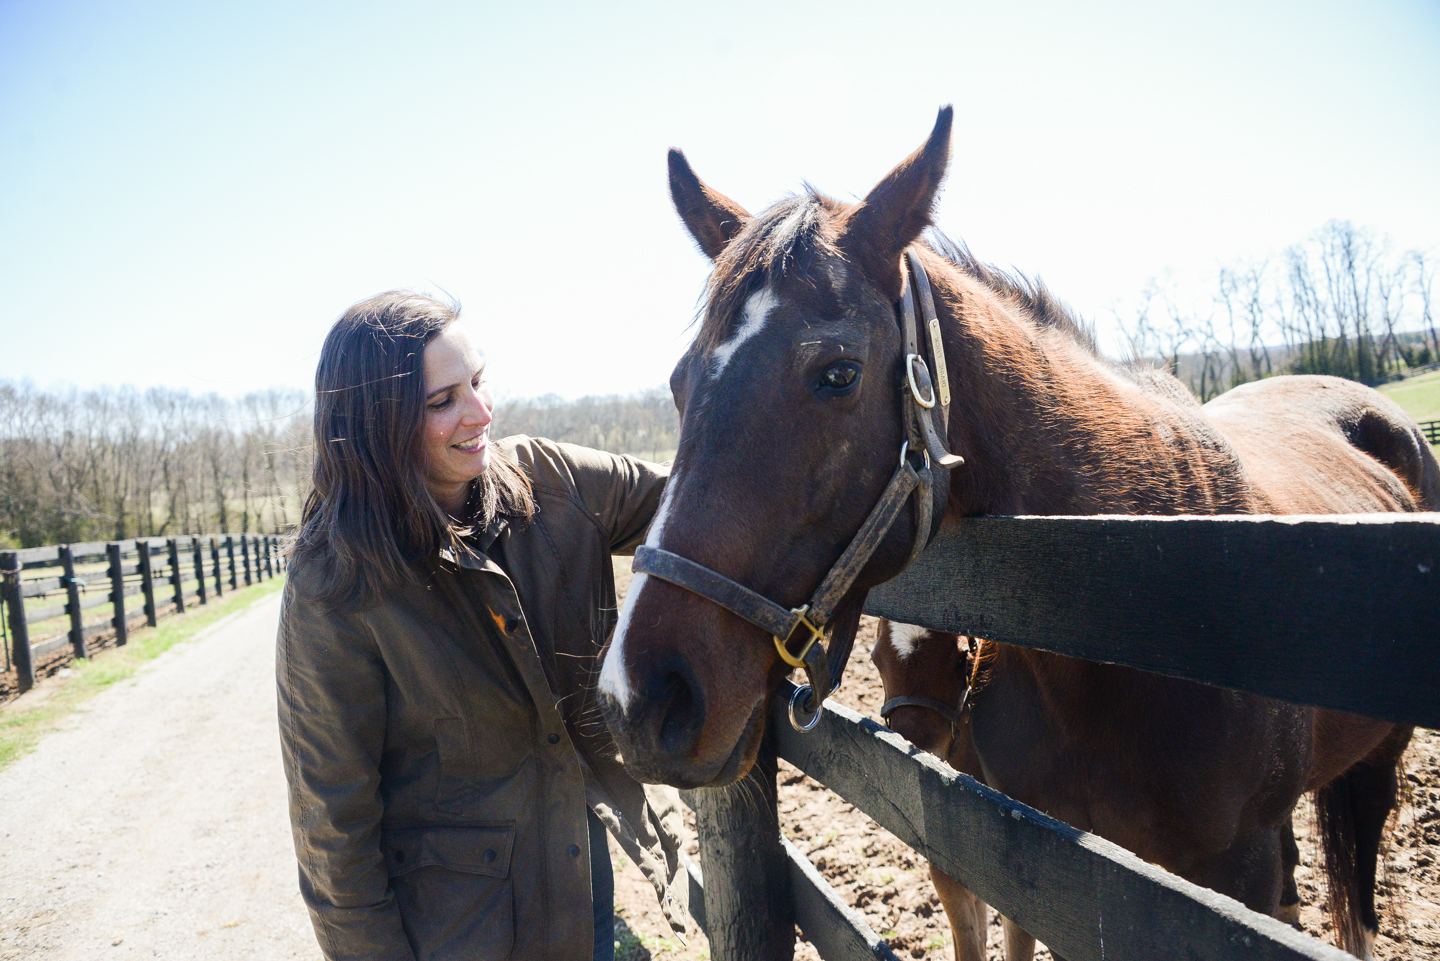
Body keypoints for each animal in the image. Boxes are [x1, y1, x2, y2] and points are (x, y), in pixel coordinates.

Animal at [596, 106, 1437, 959]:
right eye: (679, 384)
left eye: (838, 372)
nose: (639, 699)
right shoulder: (1052, 866)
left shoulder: (1230, 883)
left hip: (1377, 765)